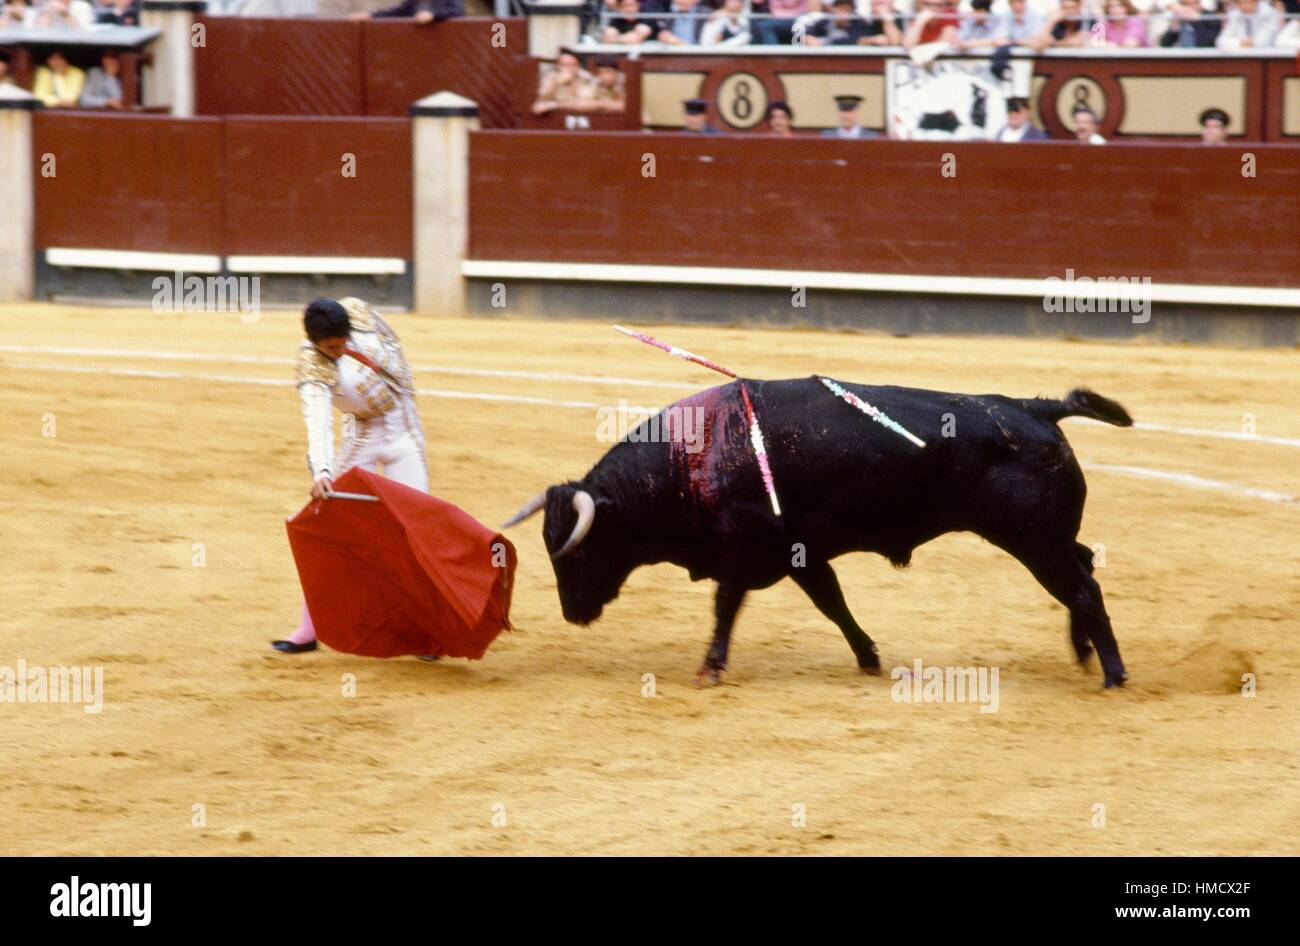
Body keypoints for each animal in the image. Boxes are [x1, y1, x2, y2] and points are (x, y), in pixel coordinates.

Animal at [505, 378, 1133, 689]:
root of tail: (1034, 408)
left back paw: (1112, 675)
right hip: (1048, 542)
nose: (571, 612)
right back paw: (1083, 654)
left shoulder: (744, 554)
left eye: (579, 551)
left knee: (1083, 590)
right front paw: (869, 657)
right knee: (1084, 567)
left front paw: (709, 668)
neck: (690, 460)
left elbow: (725, 605)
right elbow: (833, 603)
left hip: (1034, 543)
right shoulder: (800, 555)